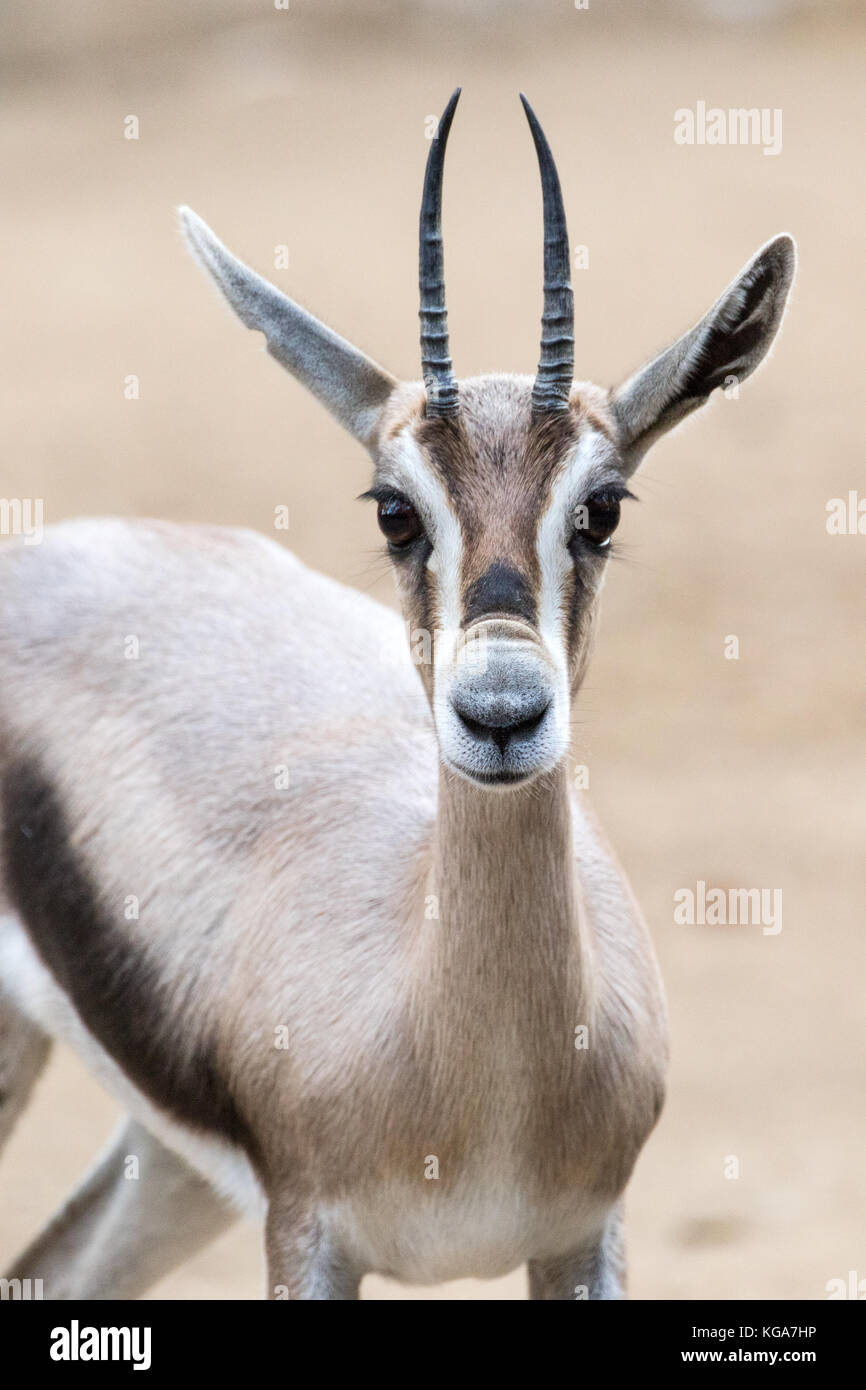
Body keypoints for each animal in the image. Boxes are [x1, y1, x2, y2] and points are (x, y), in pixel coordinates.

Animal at [0, 90, 794, 1300]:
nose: (501, 714)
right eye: (393, 509)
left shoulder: (585, 1234)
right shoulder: (308, 1235)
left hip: (173, 1163)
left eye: (603, 507)